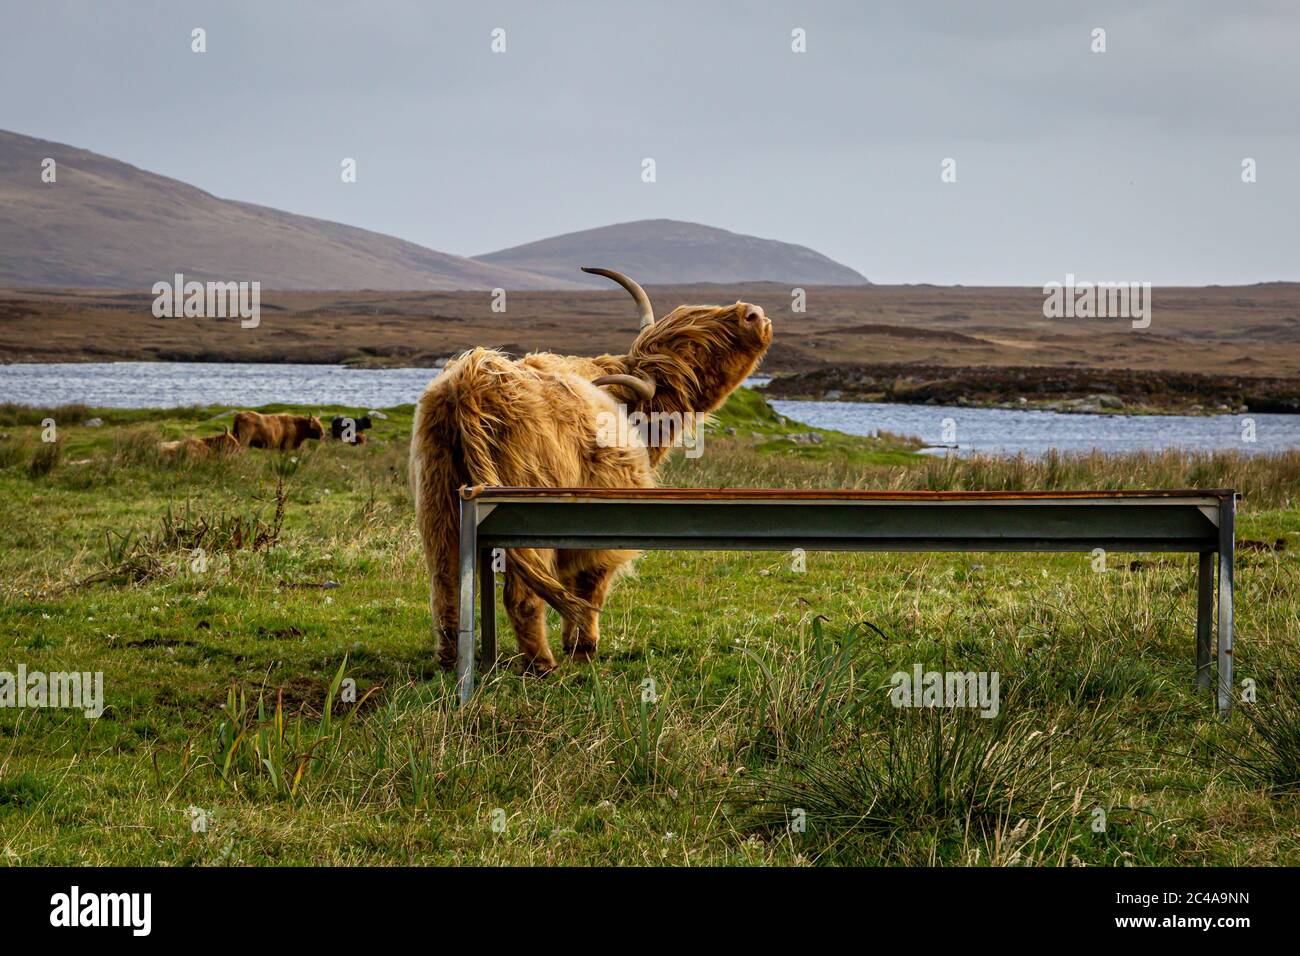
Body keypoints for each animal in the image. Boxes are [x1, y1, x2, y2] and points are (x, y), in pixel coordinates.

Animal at [410, 267, 772, 674]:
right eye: (698, 347)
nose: (754, 313)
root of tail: (473, 381)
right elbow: (592, 582)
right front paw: (583, 647)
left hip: (439, 502)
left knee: (445, 583)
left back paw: (449, 660)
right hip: (525, 509)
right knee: (522, 595)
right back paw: (543, 665)